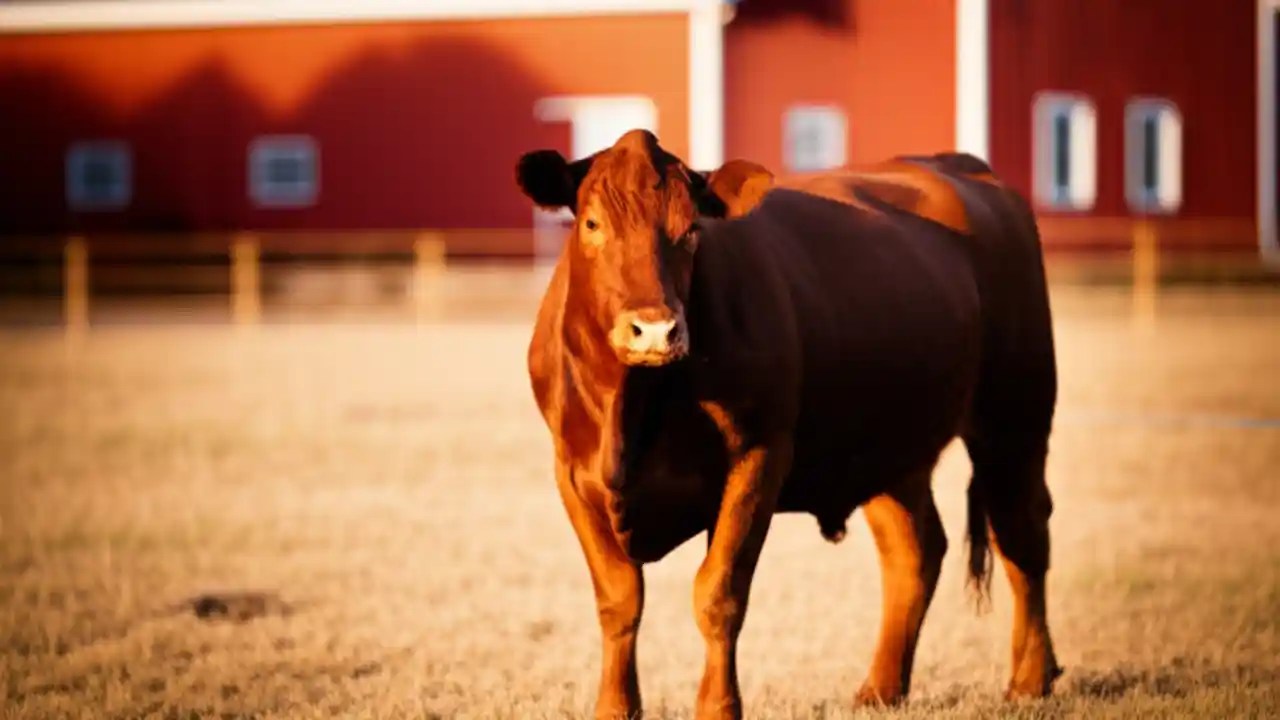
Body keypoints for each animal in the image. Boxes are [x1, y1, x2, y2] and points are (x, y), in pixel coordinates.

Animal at [515, 129, 1060, 719]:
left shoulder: (758, 458)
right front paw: (615, 707)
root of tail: (959, 166)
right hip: (889, 449)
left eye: (691, 232)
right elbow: (619, 600)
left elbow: (719, 594)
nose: (655, 330)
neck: (634, 408)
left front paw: (718, 708)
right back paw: (881, 687)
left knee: (1021, 534)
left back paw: (1031, 677)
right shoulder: (572, 472)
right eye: (592, 224)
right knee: (915, 550)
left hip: (1015, 416)